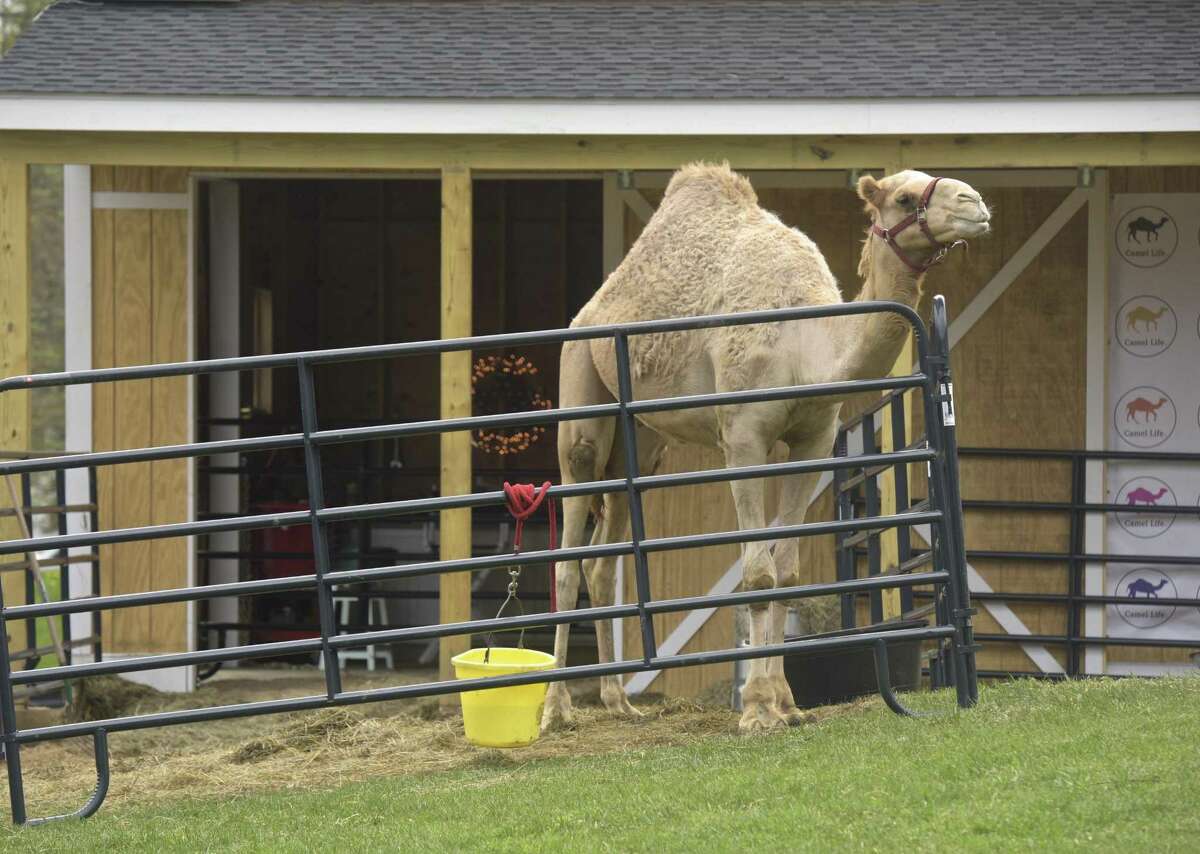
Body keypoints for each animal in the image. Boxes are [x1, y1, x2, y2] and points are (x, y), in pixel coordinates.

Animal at [545, 163, 990, 734]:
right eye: (905, 198)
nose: (974, 202)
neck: (807, 346)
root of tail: (592, 307)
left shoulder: (813, 440)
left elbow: (789, 572)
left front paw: (788, 703)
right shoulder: (743, 438)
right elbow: (757, 572)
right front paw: (755, 708)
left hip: (639, 443)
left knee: (604, 556)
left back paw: (618, 701)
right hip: (579, 388)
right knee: (567, 549)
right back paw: (555, 710)